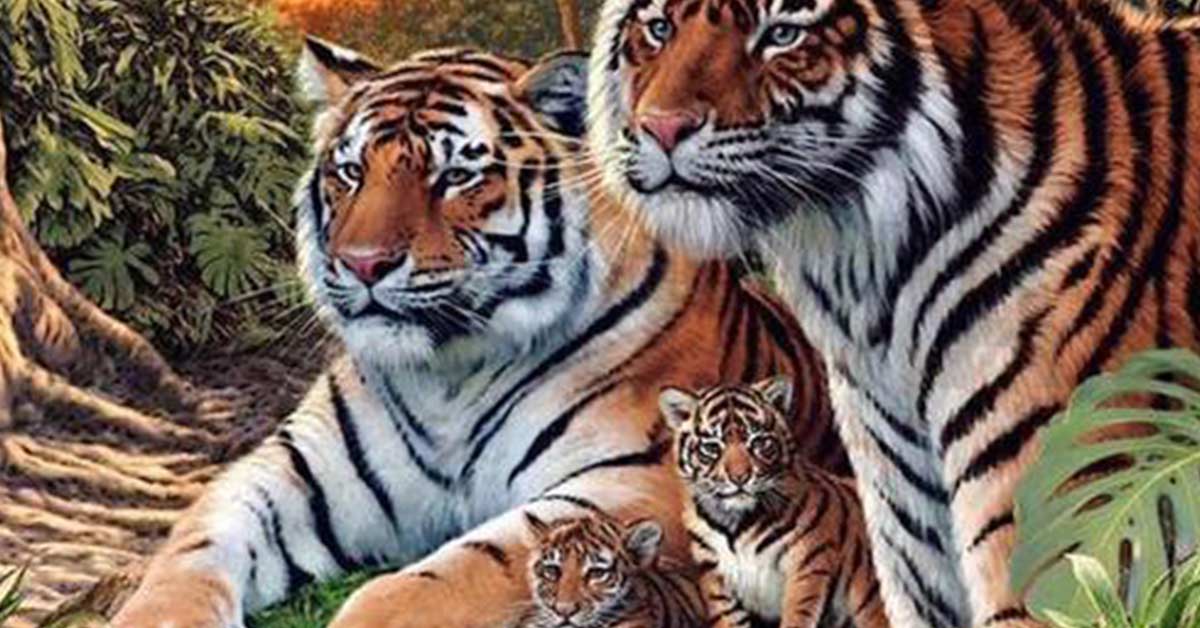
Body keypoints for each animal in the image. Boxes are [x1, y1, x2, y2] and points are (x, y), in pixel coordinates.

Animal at [660, 377, 887, 628]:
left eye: (758, 442)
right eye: (712, 447)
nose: (740, 477)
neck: (734, 524)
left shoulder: (809, 561)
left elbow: (797, 615)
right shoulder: (715, 576)